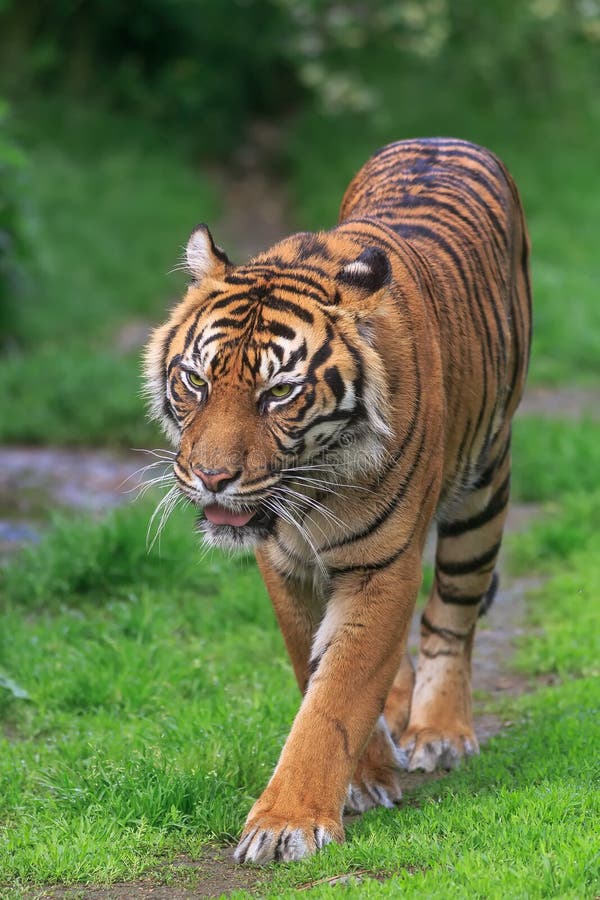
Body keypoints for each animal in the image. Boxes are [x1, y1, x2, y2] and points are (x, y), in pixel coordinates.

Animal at [144, 137, 531, 865]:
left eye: (278, 394)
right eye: (196, 382)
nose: (212, 477)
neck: (310, 487)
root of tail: (441, 139)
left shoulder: (383, 564)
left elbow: (337, 696)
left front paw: (287, 822)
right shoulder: (283, 562)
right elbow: (316, 666)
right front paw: (366, 776)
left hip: (484, 489)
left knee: (451, 614)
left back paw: (439, 731)